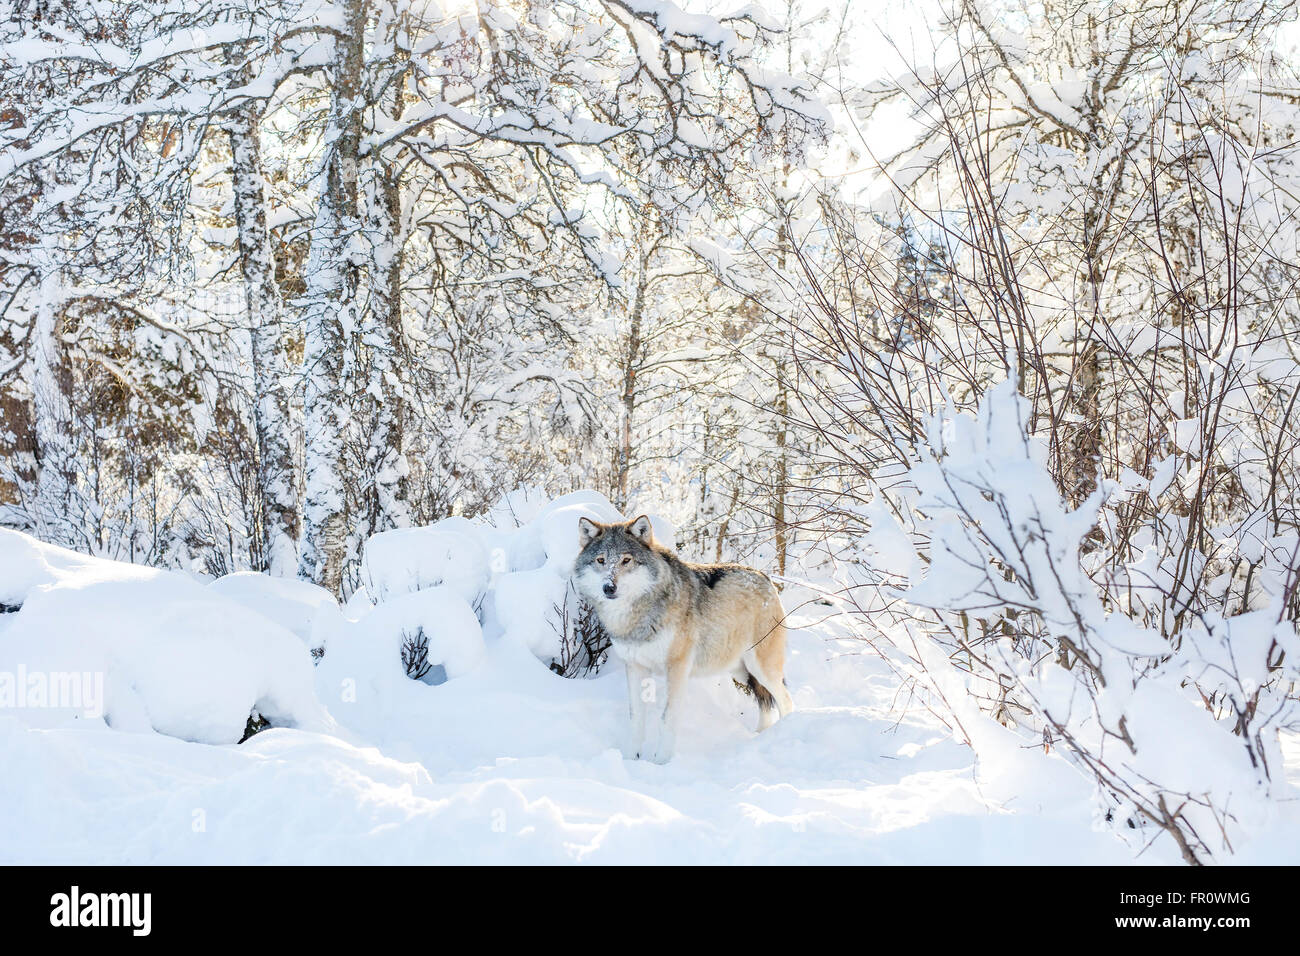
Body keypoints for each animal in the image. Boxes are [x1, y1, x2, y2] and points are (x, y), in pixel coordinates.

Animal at [572, 515, 793, 762]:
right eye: (600, 560)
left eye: (626, 560)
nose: (608, 587)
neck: (638, 616)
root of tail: (766, 579)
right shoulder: (635, 667)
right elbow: (636, 718)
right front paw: (631, 758)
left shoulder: (677, 667)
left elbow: (666, 719)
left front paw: (661, 761)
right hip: (741, 672)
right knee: (766, 707)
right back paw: (759, 737)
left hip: (761, 669)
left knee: (786, 701)